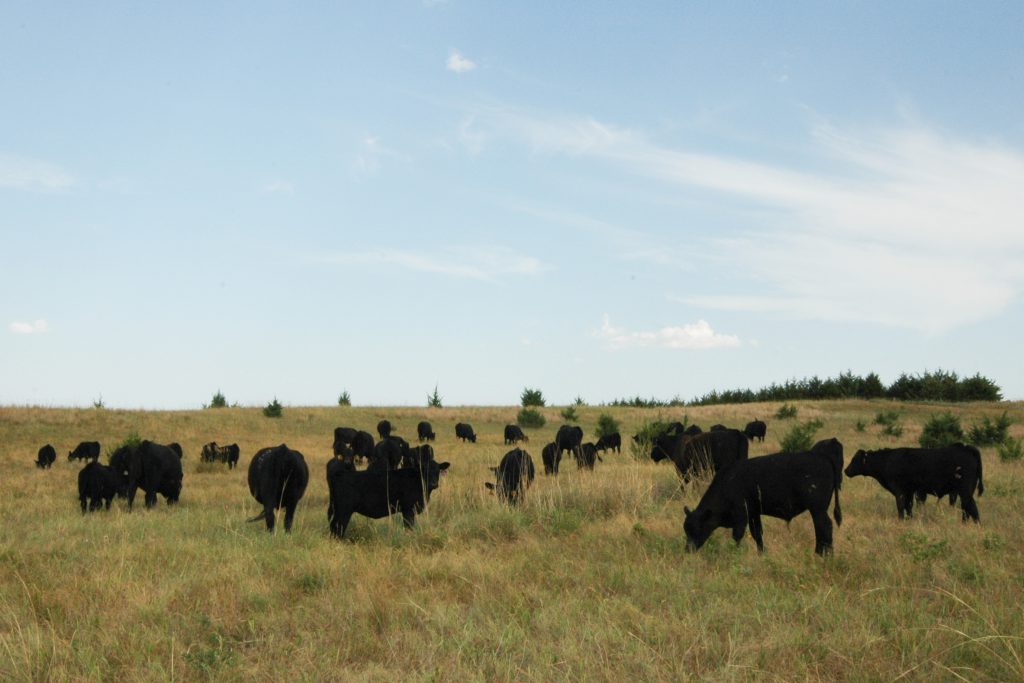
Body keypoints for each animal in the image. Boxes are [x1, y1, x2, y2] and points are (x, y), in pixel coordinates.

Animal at [684, 438, 845, 556]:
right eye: (686, 529)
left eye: (697, 527)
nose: (688, 550)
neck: (727, 482)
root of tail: (821, 456)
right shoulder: (754, 514)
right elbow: (757, 534)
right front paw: (761, 554)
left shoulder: (741, 515)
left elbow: (737, 536)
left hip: (818, 509)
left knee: (825, 526)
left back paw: (823, 554)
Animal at [844, 444, 983, 522]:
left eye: (854, 459)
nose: (846, 470)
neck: (887, 461)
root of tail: (967, 448)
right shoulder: (909, 492)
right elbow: (908, 507)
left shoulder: (899, 491)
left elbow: (901, 507)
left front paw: (900, 520)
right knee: (967, 508)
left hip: (965, 491)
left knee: (971, 508)